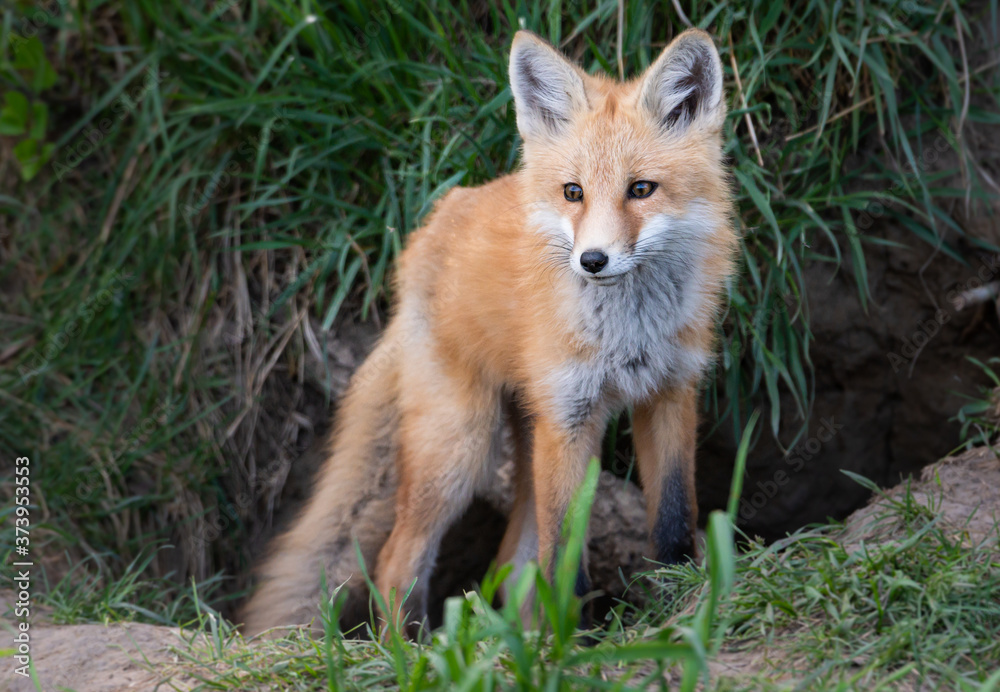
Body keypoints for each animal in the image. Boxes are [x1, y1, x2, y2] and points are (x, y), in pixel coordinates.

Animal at [241, 27, 735, 637]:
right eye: (573, 192)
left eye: (642, 189)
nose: (592, 261)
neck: (629, 333)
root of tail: (431, 228)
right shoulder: (570, 418)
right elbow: (563, 555)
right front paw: (574, 643)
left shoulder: (669, 395)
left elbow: (672, 522)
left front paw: (678, 607)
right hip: (461, 445)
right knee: (397, 560)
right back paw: (407, 646)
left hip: (524, 435)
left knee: (511, 562)